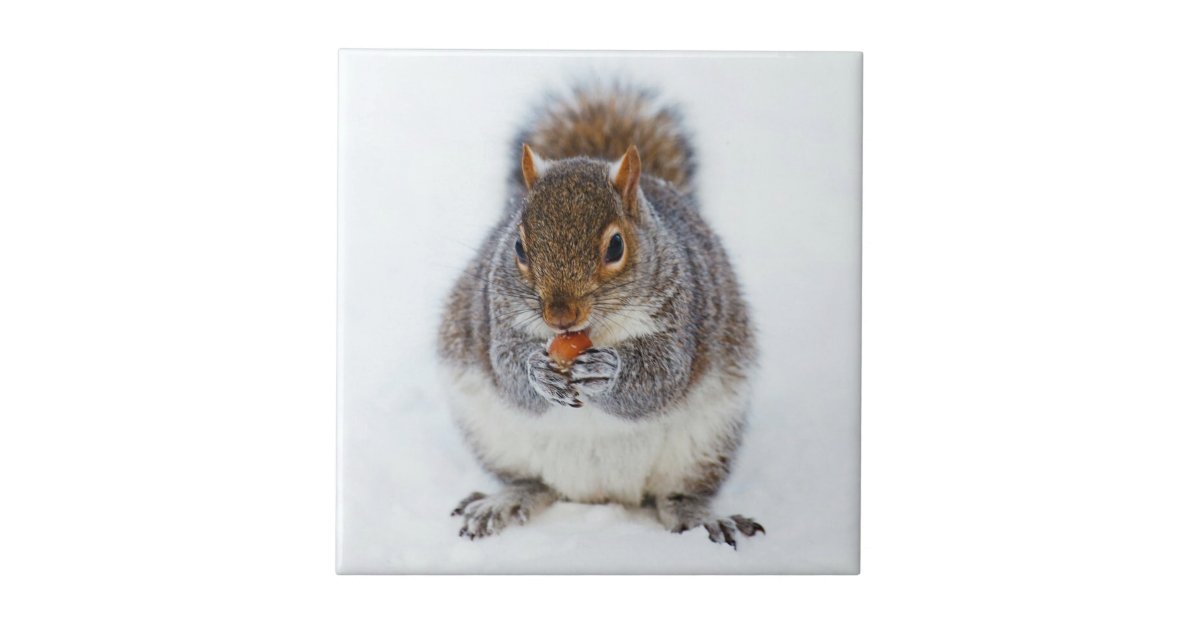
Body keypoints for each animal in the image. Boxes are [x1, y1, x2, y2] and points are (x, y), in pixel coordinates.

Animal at [438, 85, 763, 548]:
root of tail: (599, 493)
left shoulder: (684, 315)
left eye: (615, 247)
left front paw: (607, 371)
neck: (591, 332)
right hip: (493, 436)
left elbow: (662, 377)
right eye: (518, 247)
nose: (560, 315)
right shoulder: (495, 313)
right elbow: (507, 368)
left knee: (678, 495)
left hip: (705, 444)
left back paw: (702, 518)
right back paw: (503, 501)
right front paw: (538, 371)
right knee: (533, 482)